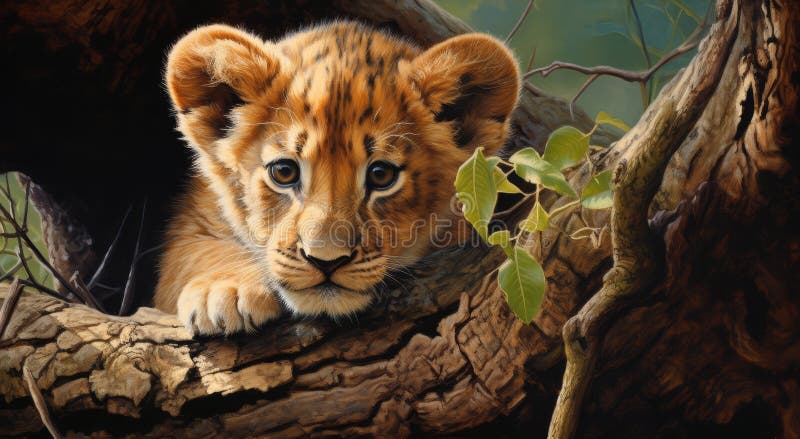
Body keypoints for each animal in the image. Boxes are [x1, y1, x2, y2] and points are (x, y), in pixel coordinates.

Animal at [153, 21, 520, 335]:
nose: (326, 260)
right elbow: (190, 251)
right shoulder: (194, 216)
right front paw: (223, 290)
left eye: (381, 175)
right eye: (283, 172)